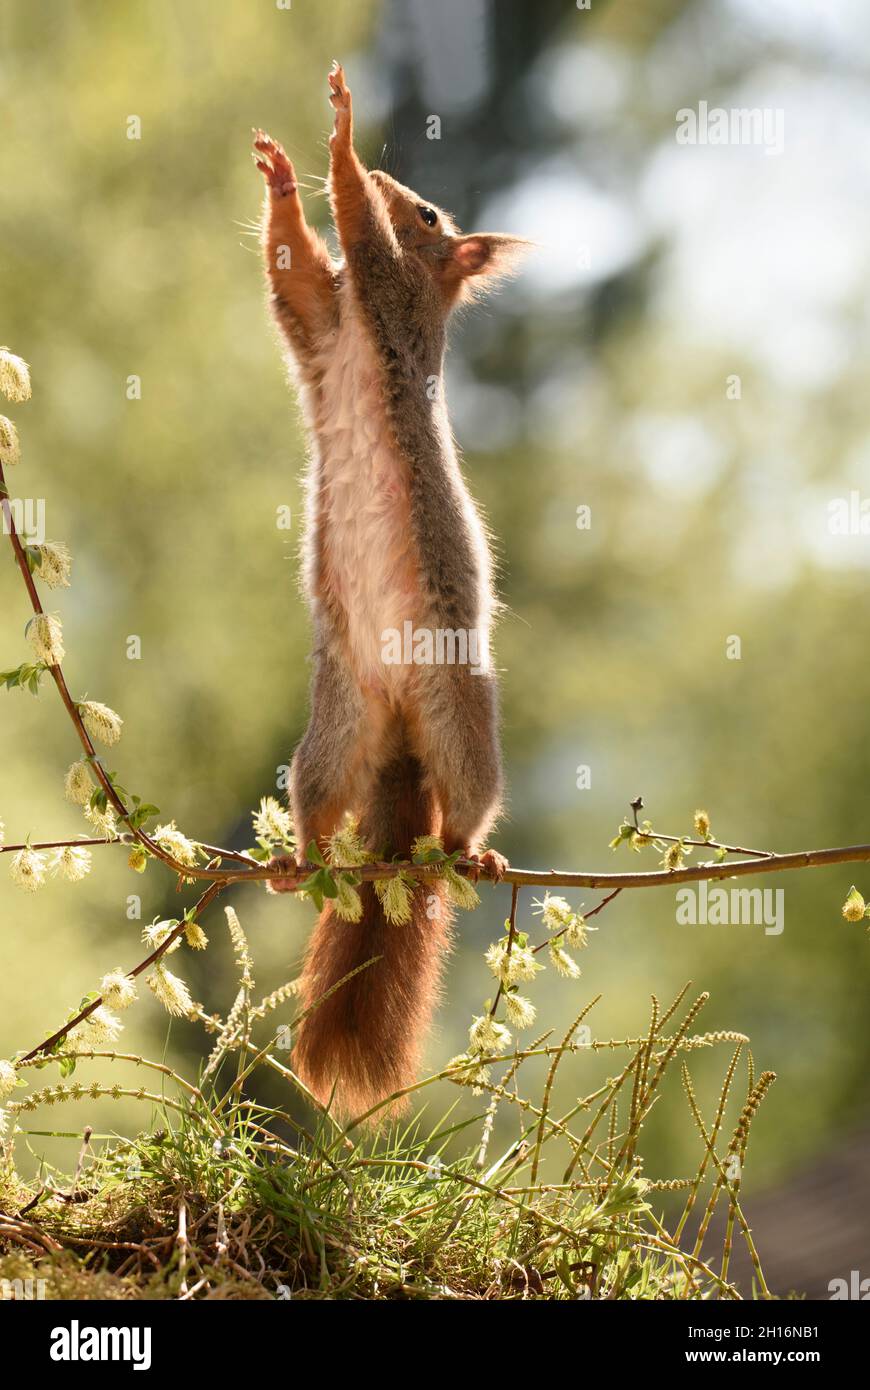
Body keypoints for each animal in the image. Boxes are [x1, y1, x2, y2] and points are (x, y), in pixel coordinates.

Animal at [253, 62, 525, 1115]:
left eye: (432, 214)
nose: (386, 172)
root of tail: (404, 738)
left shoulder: (383, 289)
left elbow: (361, 238)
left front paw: (337, 143)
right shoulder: (323, 319)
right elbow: (292, 267)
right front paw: (285, 175)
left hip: (456, 713)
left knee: (468, 799)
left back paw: (468, 851)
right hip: (333, 738)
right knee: (323, 802)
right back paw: (300, 863)